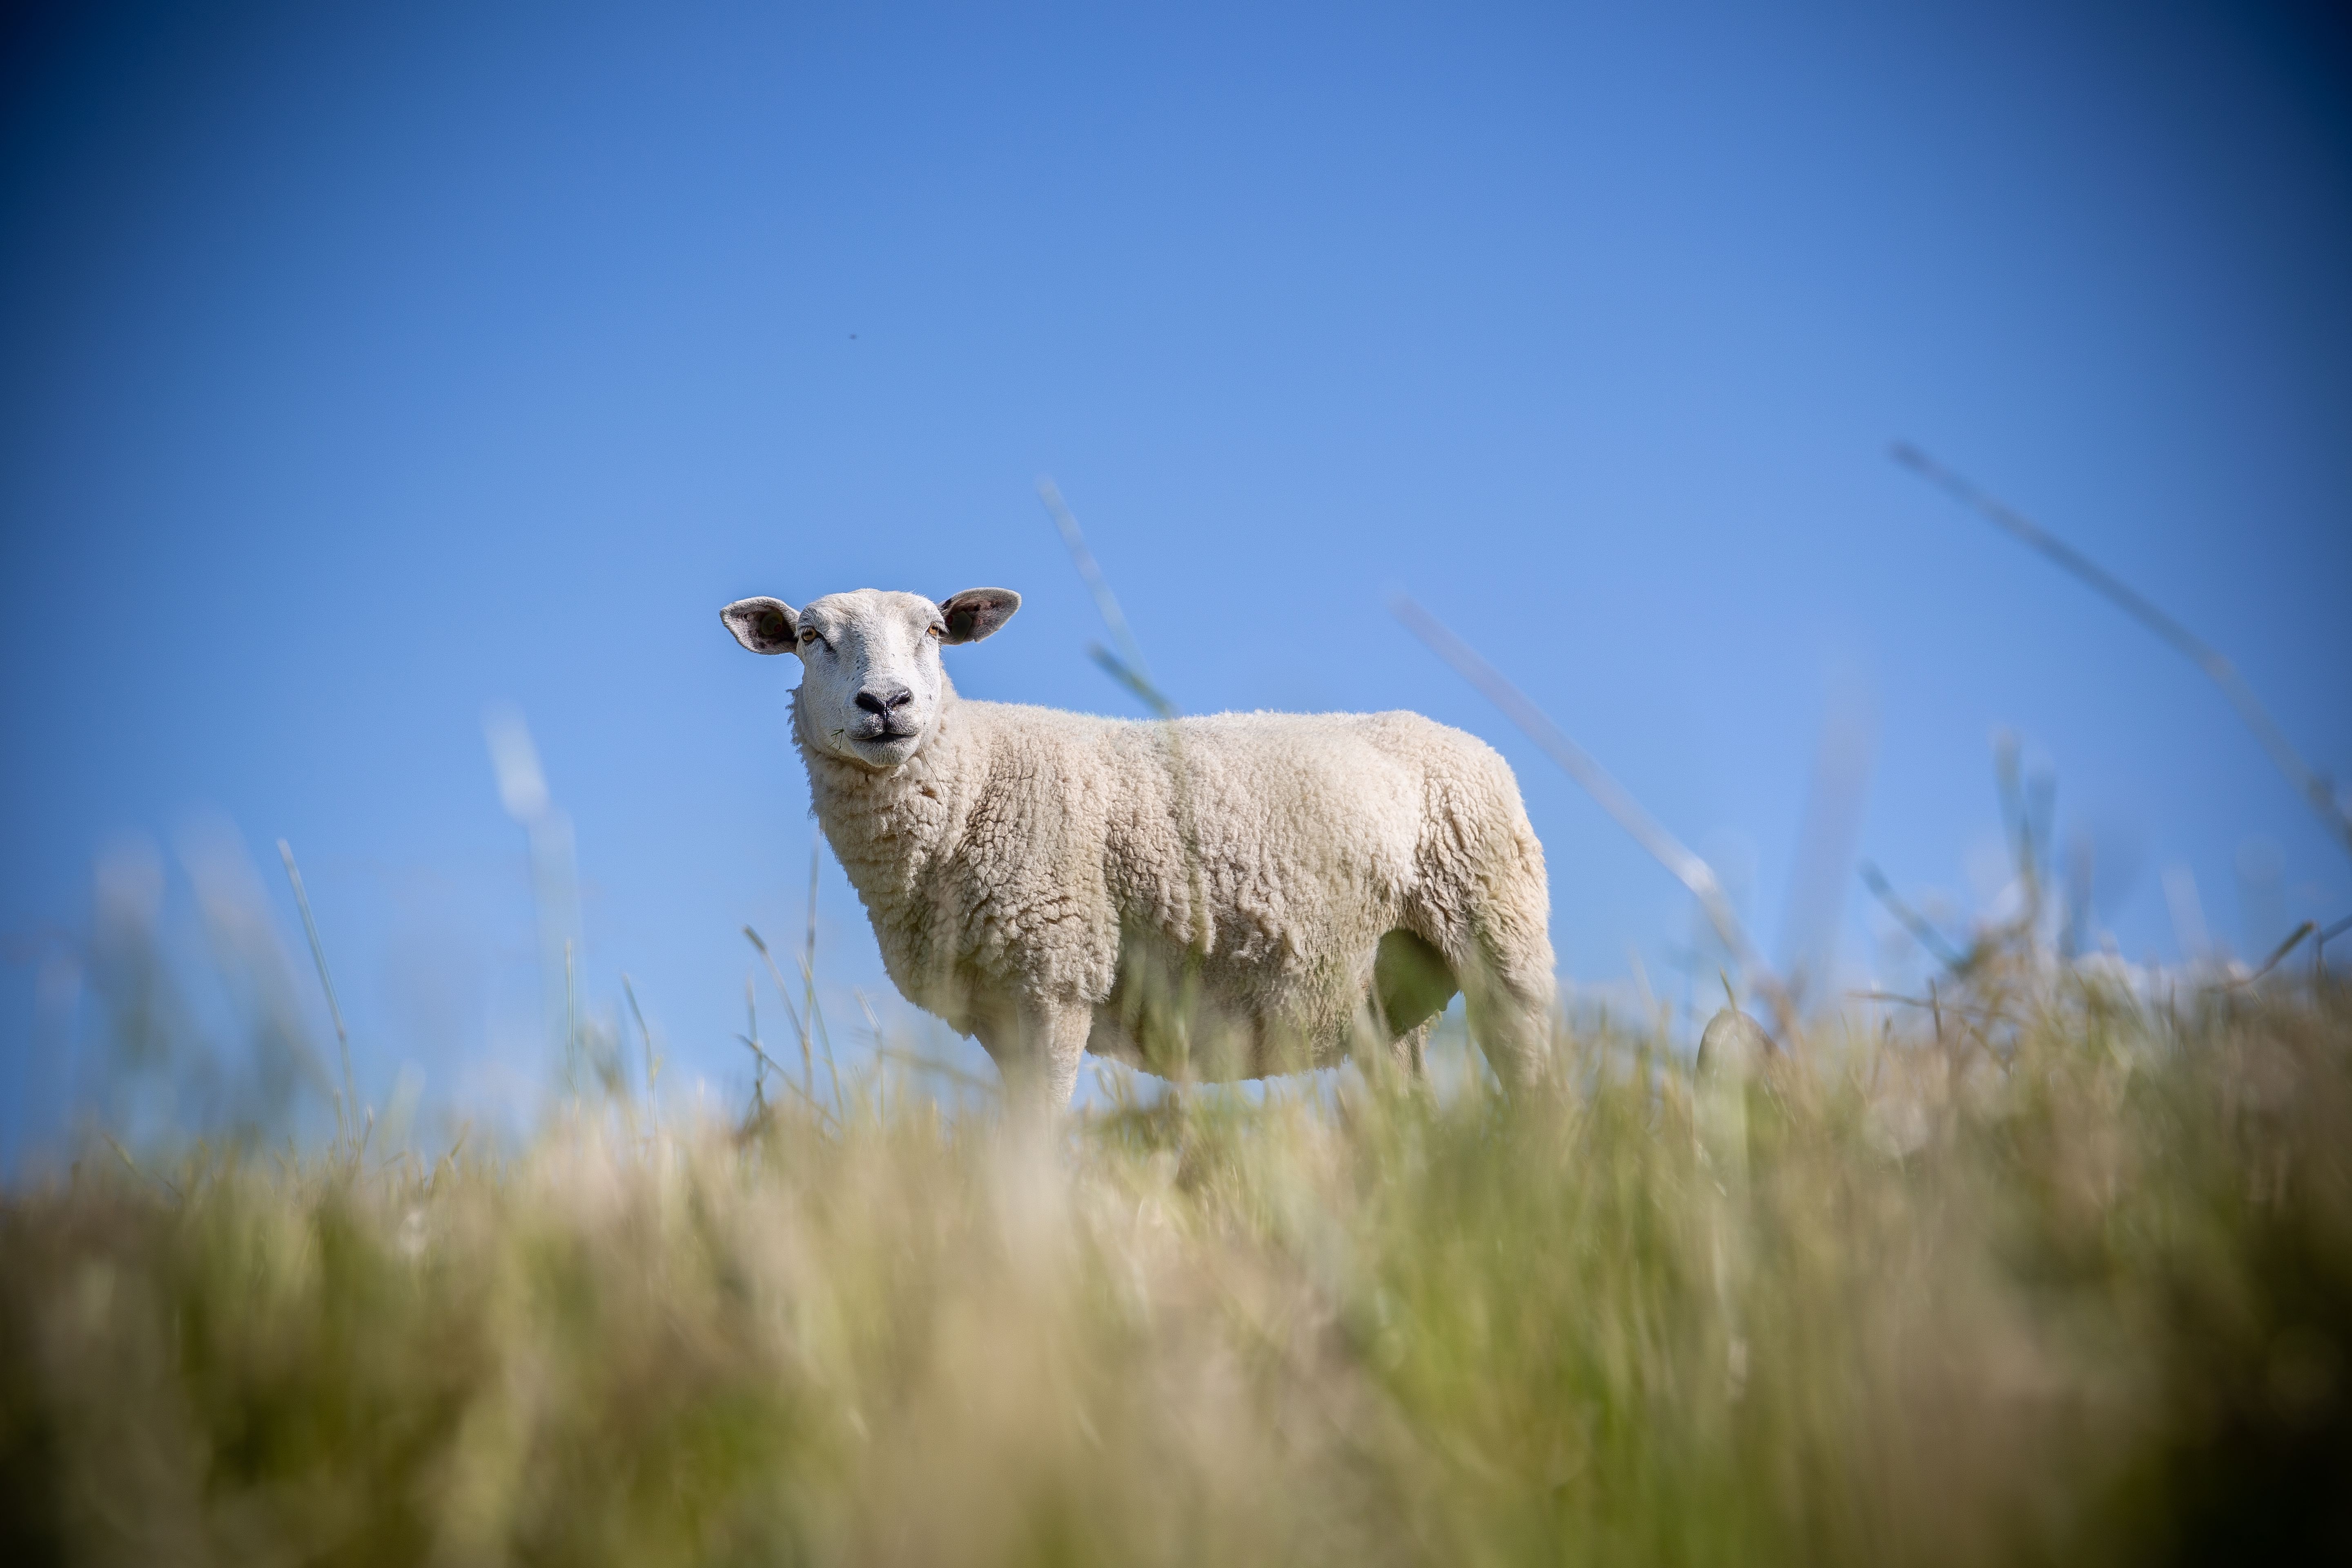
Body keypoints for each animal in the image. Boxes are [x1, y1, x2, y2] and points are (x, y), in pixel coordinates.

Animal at [721, 586, 1556, 1113]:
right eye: (809, 638)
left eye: (933, 632)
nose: (887, 704)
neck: (973, 783)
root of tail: (1465, 740)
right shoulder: (998, 1009)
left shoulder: (1059, 976)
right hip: (1389, 998)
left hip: (1502, 941)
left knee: (1541, 1097)